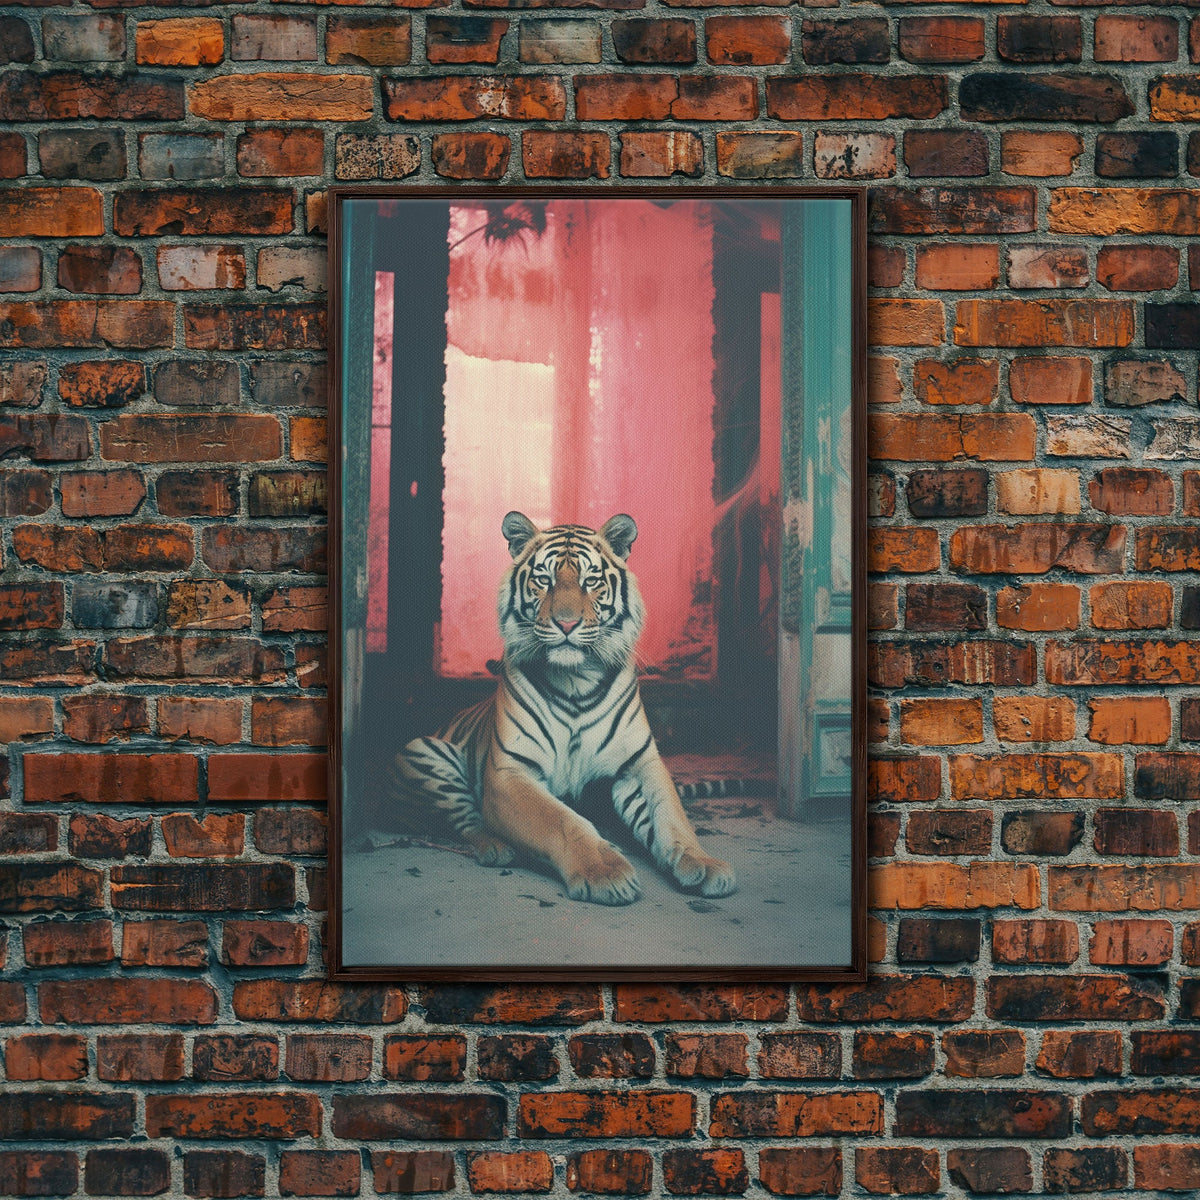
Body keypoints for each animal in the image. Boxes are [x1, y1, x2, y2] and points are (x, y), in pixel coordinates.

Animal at [395, 511, 737, 906]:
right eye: (545, 579)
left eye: (591, 581)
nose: (567, 623)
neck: (577, 680)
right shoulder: (510, 774)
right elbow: (562, 820)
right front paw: (606, 872)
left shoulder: (639, 764)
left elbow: (672, 817)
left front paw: (704, 863)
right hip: (421, 752)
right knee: (469, 823)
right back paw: (497, 849)